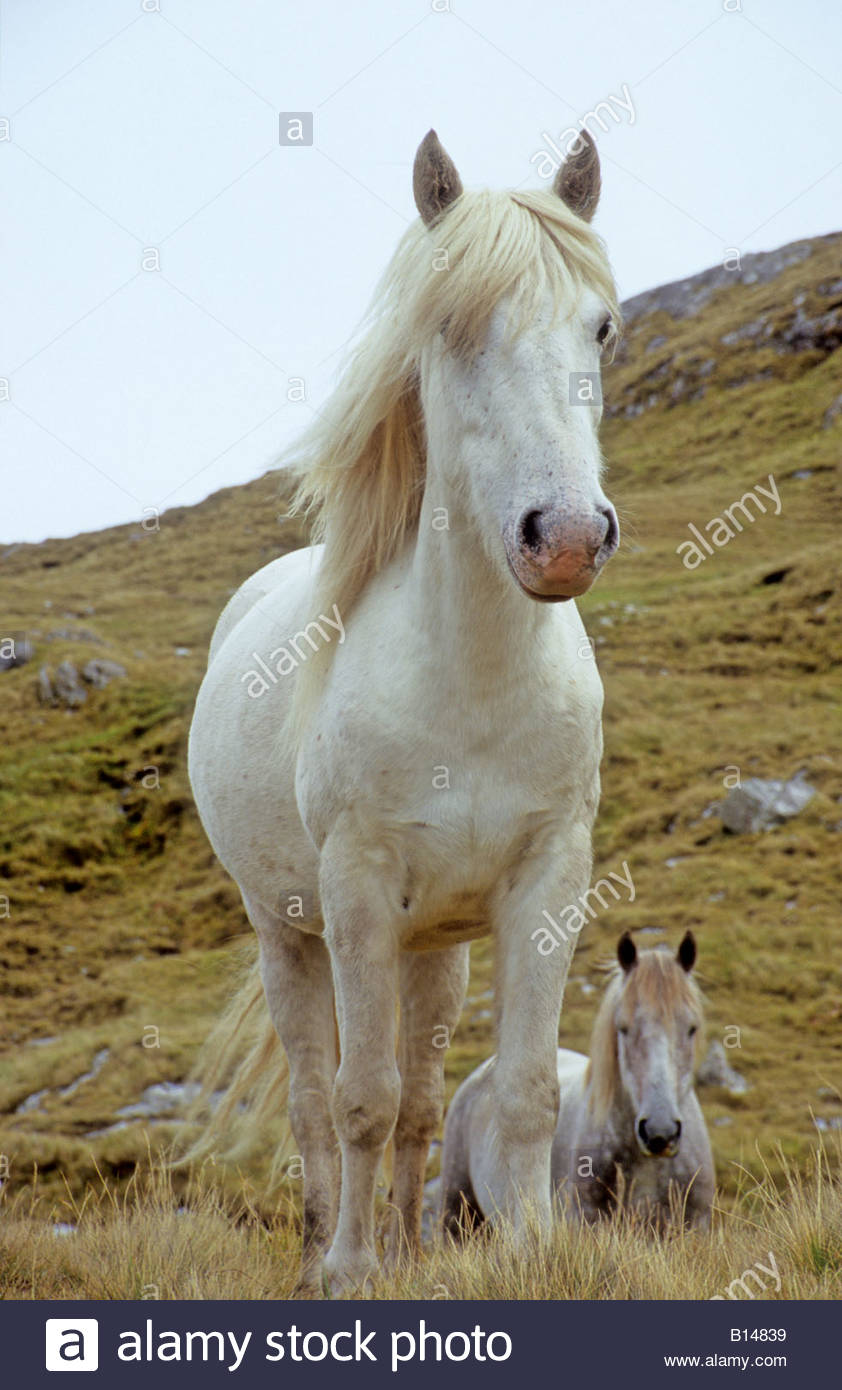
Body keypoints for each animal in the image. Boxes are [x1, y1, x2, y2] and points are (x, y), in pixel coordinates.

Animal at [186, 128, 621, 1293]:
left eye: (601, 326)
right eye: (452, 329)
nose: (564, 537)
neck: (468, 687)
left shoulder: (545, 883)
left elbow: (518, 1093)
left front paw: (528, 1252)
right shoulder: (357, 893)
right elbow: (357, 1101)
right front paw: (347, 1274)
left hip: (438, 949)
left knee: (424, 1106)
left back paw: (412, 1248)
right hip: (289, 936)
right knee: (313, 1102)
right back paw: (320, 1255)